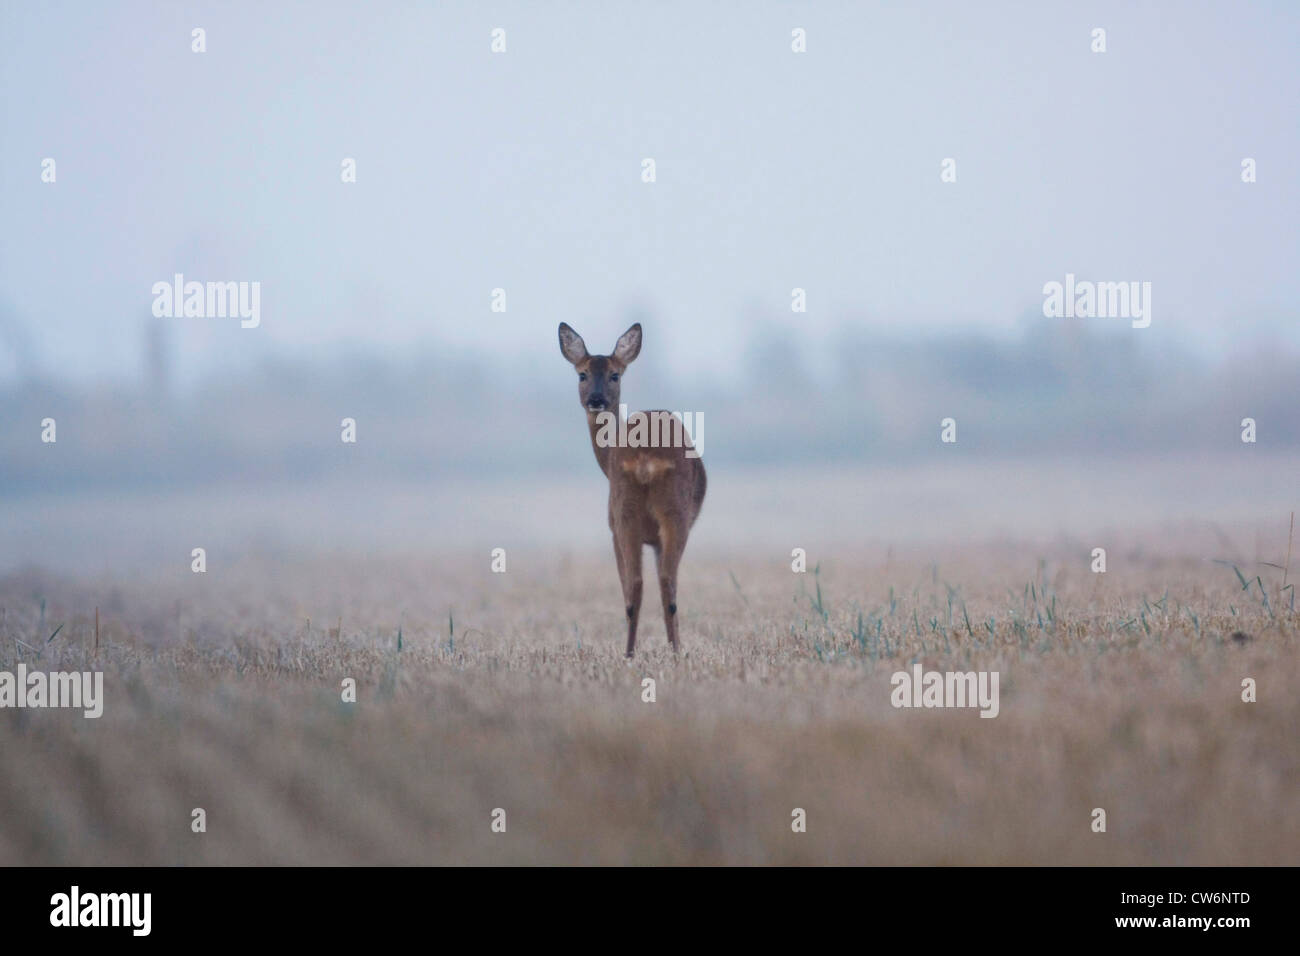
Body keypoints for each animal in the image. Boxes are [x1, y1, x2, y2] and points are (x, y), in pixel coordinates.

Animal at [557, 322, 706, 657]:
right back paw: (658, 651)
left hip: (629, 512)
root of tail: (645, 457)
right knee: (658, 583)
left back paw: (640, 652)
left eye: (615, 374)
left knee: (644, 584)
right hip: (662, 513)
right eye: (582, 374)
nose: (596, 399)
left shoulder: (617, 527)